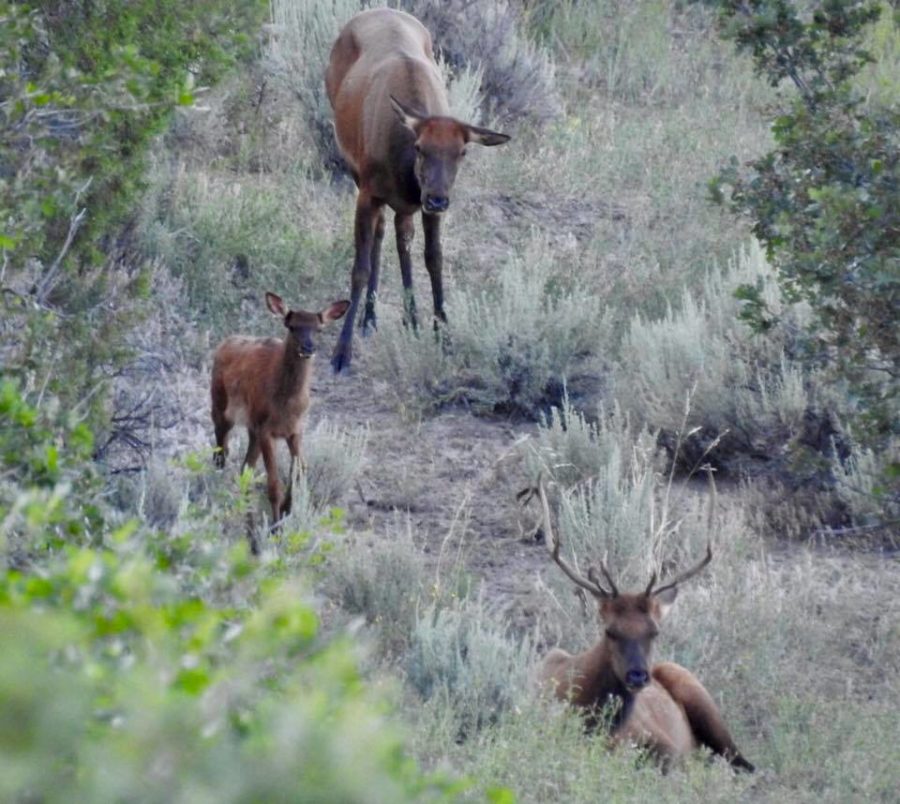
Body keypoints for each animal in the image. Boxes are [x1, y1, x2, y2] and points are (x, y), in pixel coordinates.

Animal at [210, 293, 350, 545]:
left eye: (318, 329)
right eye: (292, 327)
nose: (308, 347)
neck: (286, 404)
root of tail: (225, 342)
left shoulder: (294, 430)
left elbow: (301, 469)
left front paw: (287, 510)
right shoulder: (267, 429)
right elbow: (274, 483)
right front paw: (275, 528)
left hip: (252, 427)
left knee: (245, 468)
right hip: (220, 405)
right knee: (221, 451)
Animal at [325, 8, 511, 372]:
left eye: (462, 152)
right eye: (420, 147)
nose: (438, 199)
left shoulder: (424, 205)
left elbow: (434, 258)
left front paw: (445, 336)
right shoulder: (368, 191)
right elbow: (360, 267)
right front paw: (341, 351)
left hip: (405, 204)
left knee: (401, 235)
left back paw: (408, 319)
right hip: (357, 172)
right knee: (384, 233)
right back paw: (371, 319)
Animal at [534, 481, 754, 772]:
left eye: (654, 632)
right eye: (609, 631)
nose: (638, 676)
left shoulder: (660, 740)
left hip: (695, 691)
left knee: (743, 762)